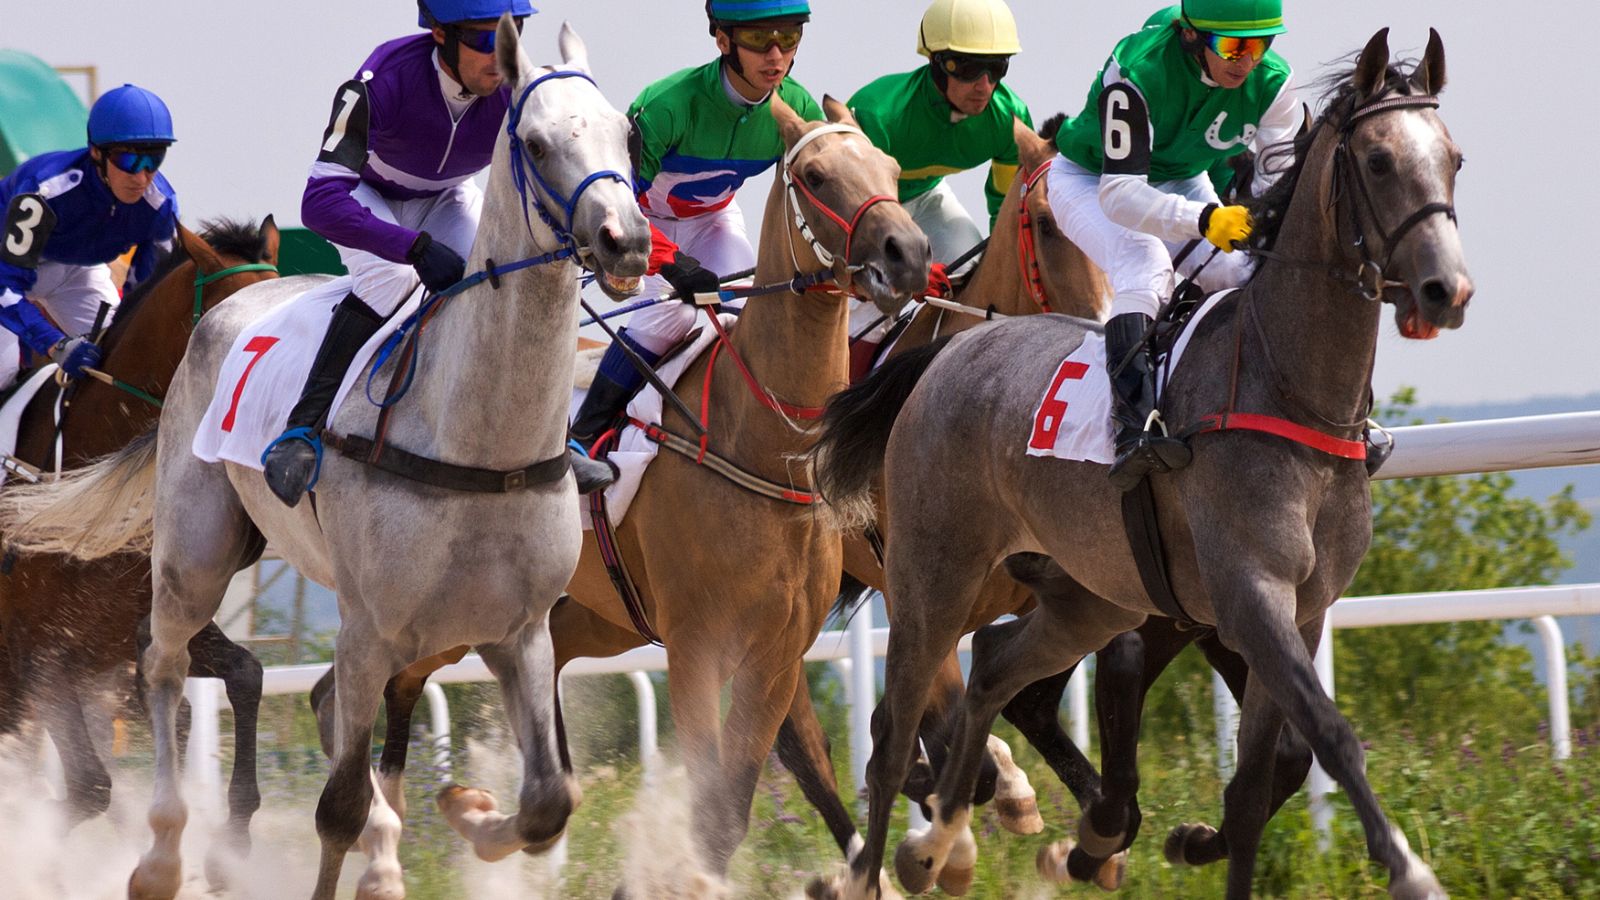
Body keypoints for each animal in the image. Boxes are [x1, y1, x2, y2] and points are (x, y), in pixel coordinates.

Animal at [811, 30, 1469, 900]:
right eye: (1379, 160)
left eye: (1453, 157)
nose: (1443, 289)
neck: (1290, 388)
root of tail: (952, 349)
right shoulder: (1251, 596)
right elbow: (1330, 734)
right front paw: (1410, 868)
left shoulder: (1298, 608)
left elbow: (1256, 787)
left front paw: (1185, 840)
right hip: (931, 577)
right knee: (892, 736)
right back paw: (895, 861)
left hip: (1088, 596)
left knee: (995, 670)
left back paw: (943, 841)